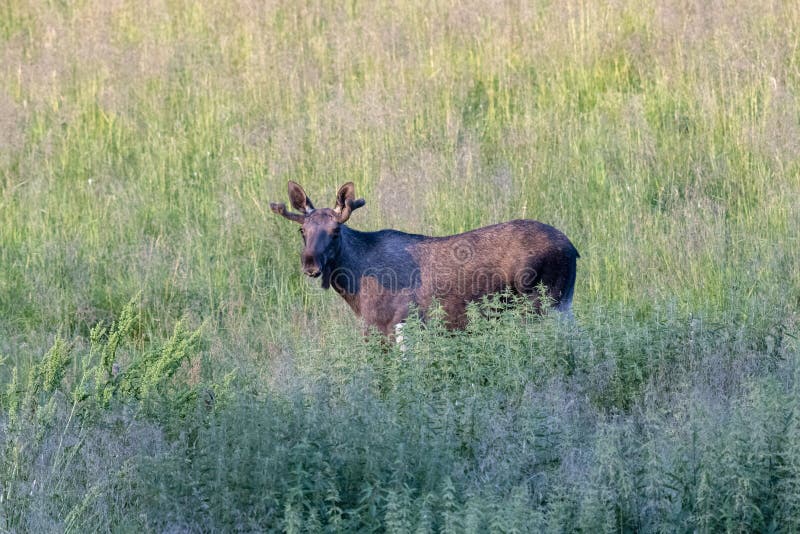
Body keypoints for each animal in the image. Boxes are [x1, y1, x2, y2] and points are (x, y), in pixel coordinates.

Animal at [270, 181, 579, 336]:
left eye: (335, 231)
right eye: (302, 230)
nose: (310, 264)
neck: (354, 288)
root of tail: (574, 249)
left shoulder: (390, 323)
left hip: (544, 304)